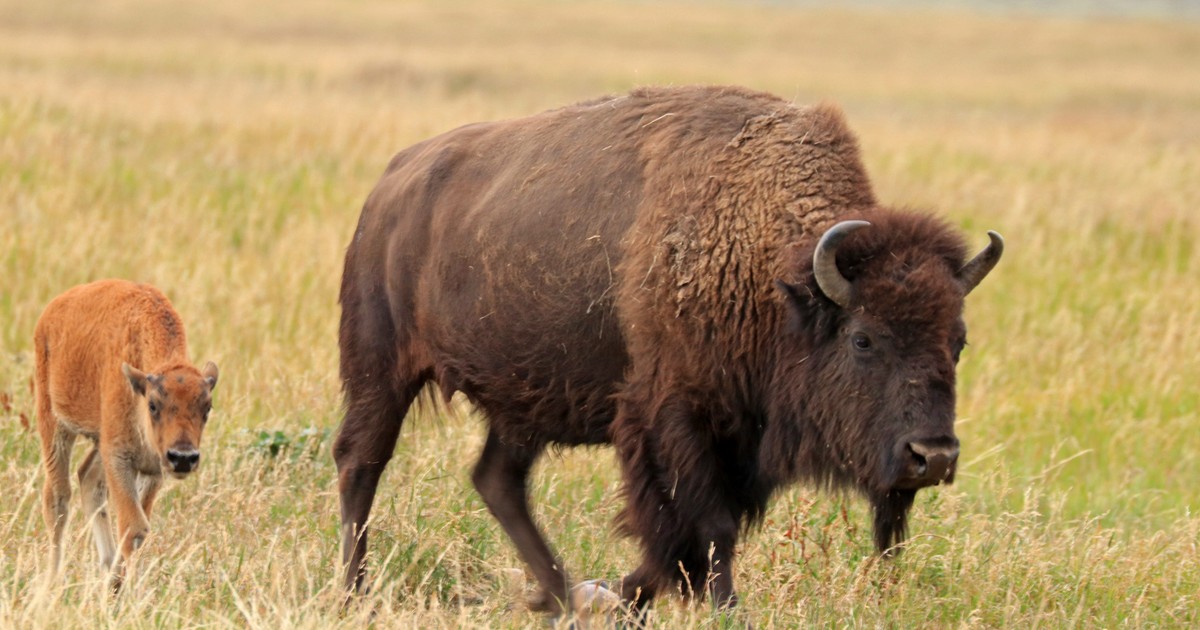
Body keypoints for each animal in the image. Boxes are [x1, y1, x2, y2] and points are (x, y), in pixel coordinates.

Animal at [332, 85, 1002, 613]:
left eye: (958, 342)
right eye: (863, 338)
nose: (933, 456)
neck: (769, 273)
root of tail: (392, 183)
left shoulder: (741, 437)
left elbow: (682, 542)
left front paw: (616, 597)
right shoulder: (675, 419)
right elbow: (706, 528)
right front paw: (723, 608)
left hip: (523, 403)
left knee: (497, 480)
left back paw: (560, 596)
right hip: (379, 370)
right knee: (360, 462)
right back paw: (353, 591)